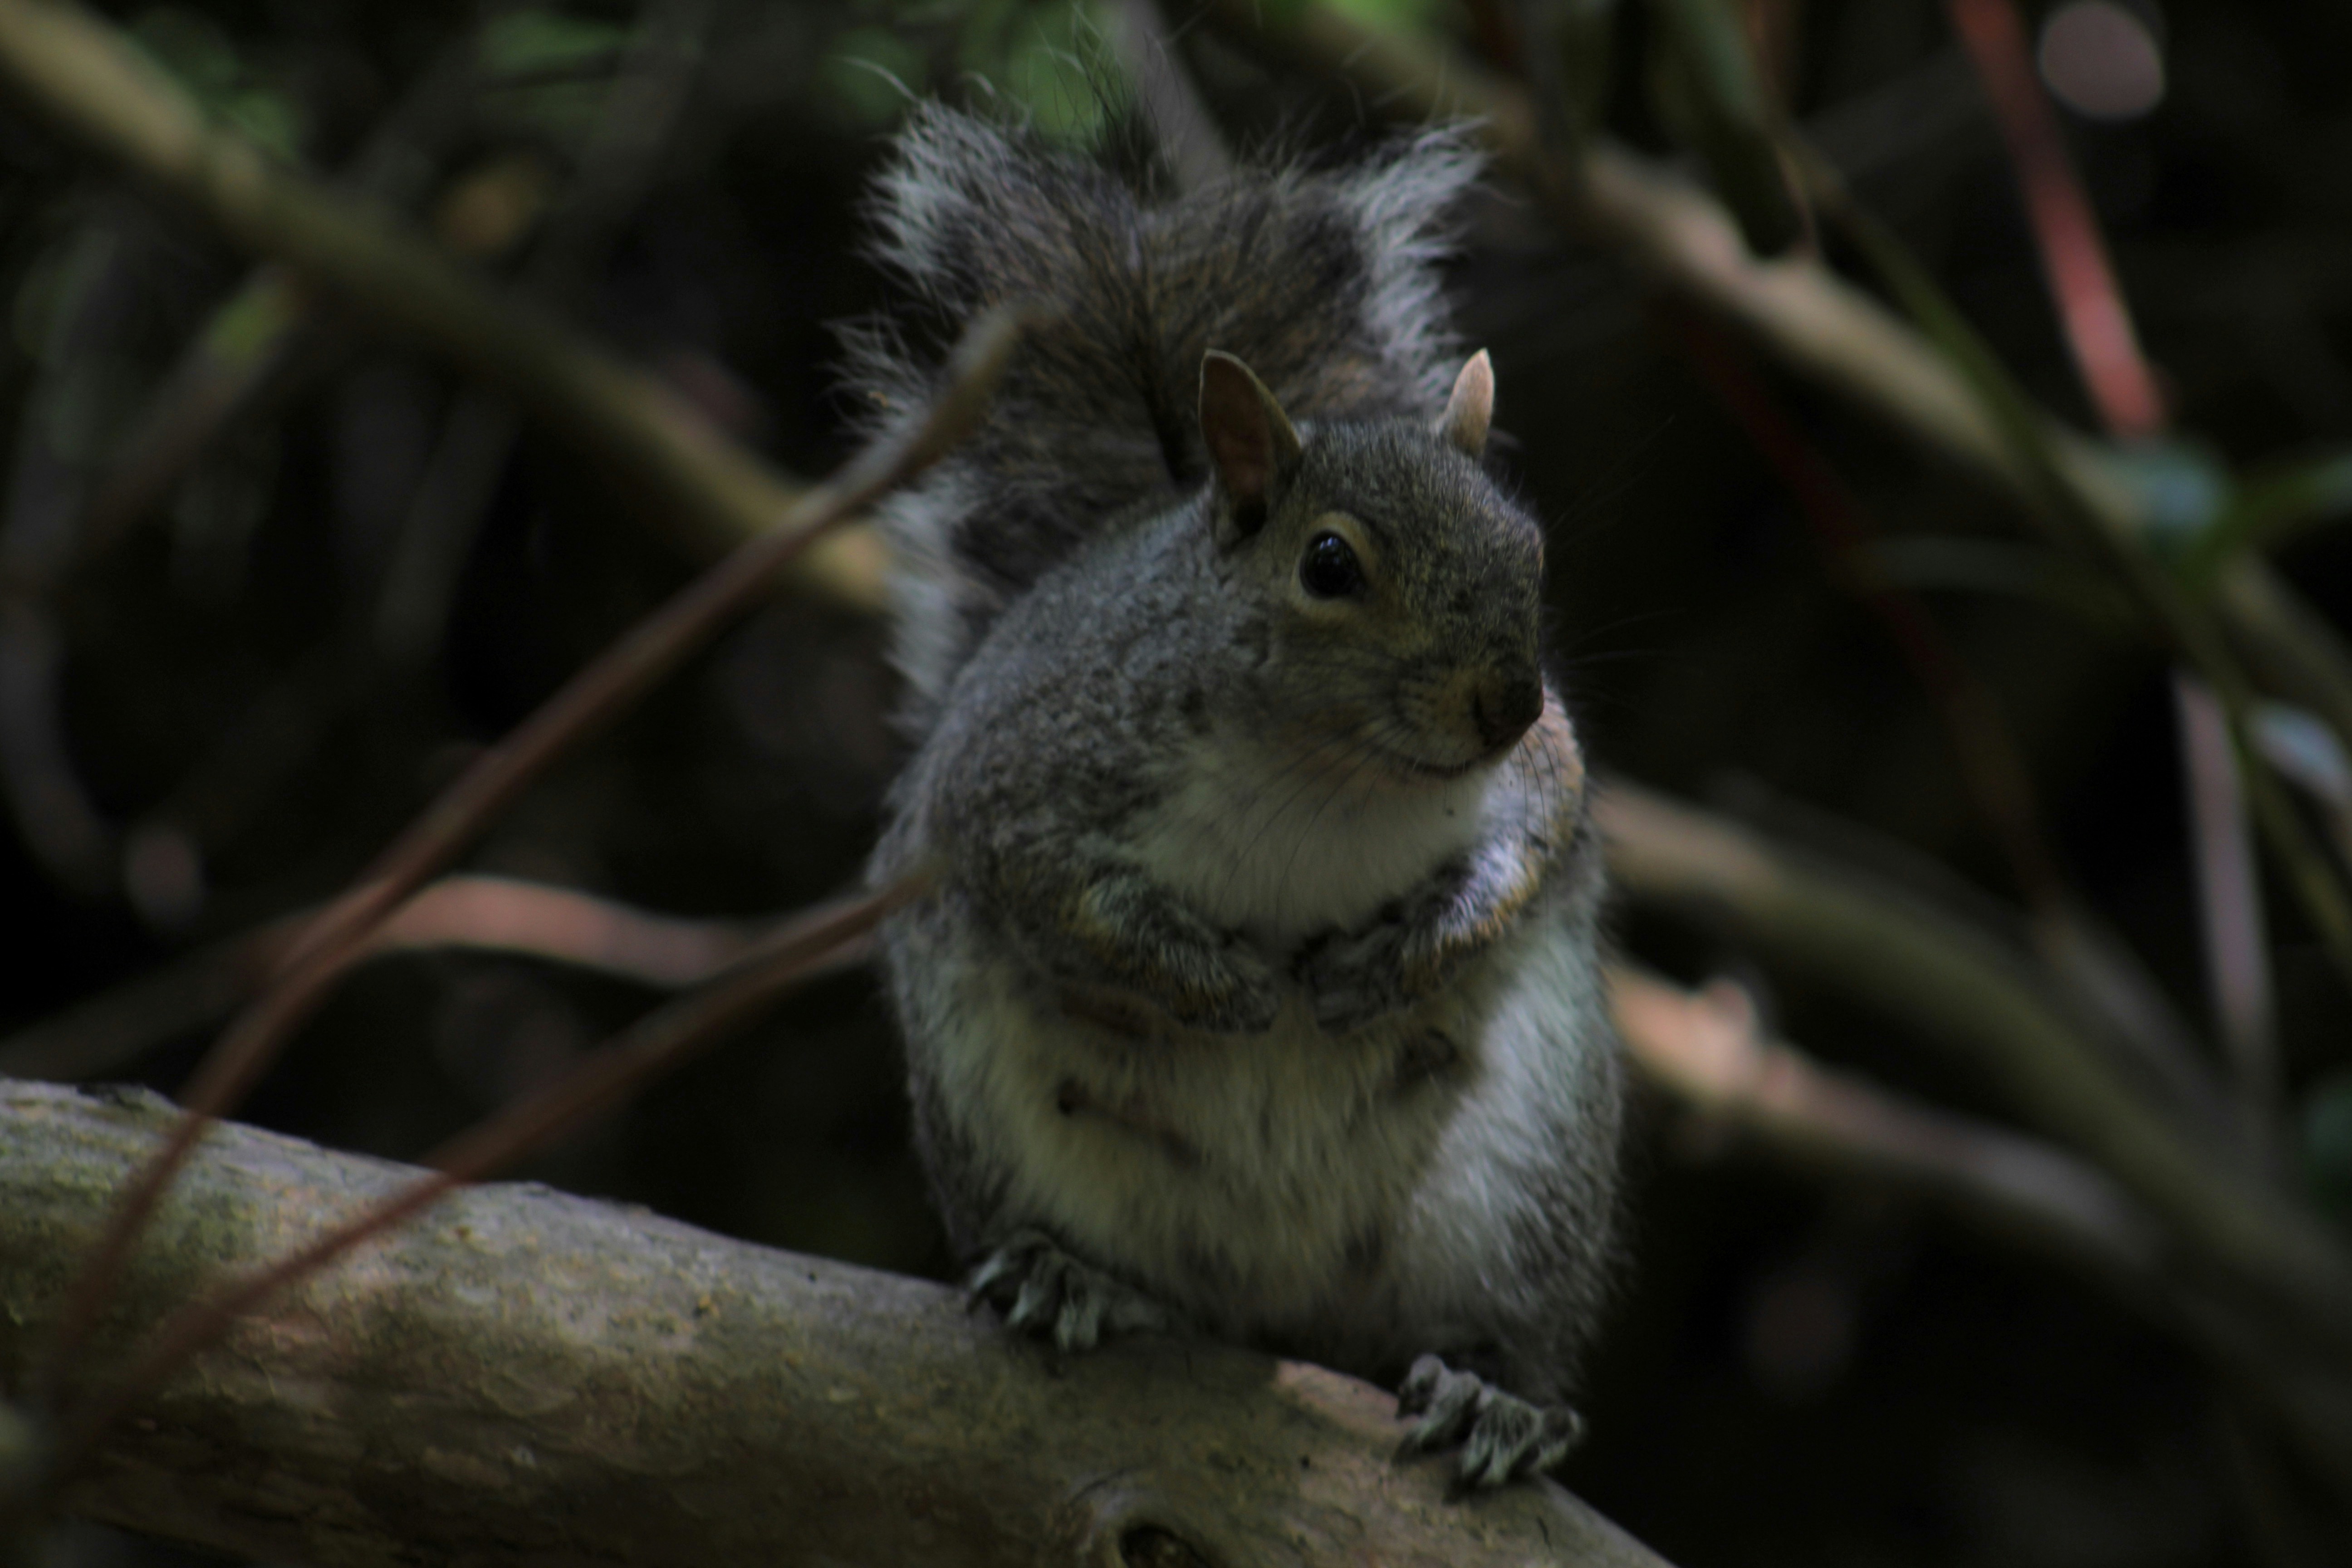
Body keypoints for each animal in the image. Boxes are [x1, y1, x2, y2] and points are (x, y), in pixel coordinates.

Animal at [850, 103, 1625, 1490]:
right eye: (1327, 565)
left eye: (1526, 548)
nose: (1505, 702)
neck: (1329, 774)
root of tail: (1276, 1302)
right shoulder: (1019, 776)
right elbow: (1060, 900)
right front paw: (1231, 987)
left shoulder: (1546, 773)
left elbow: (1526, 853)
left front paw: (1393, 960)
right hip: (997, 1111)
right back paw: (1065, 1273)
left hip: (1527, 1176)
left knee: (1503, 1325)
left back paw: (1495, 1396)